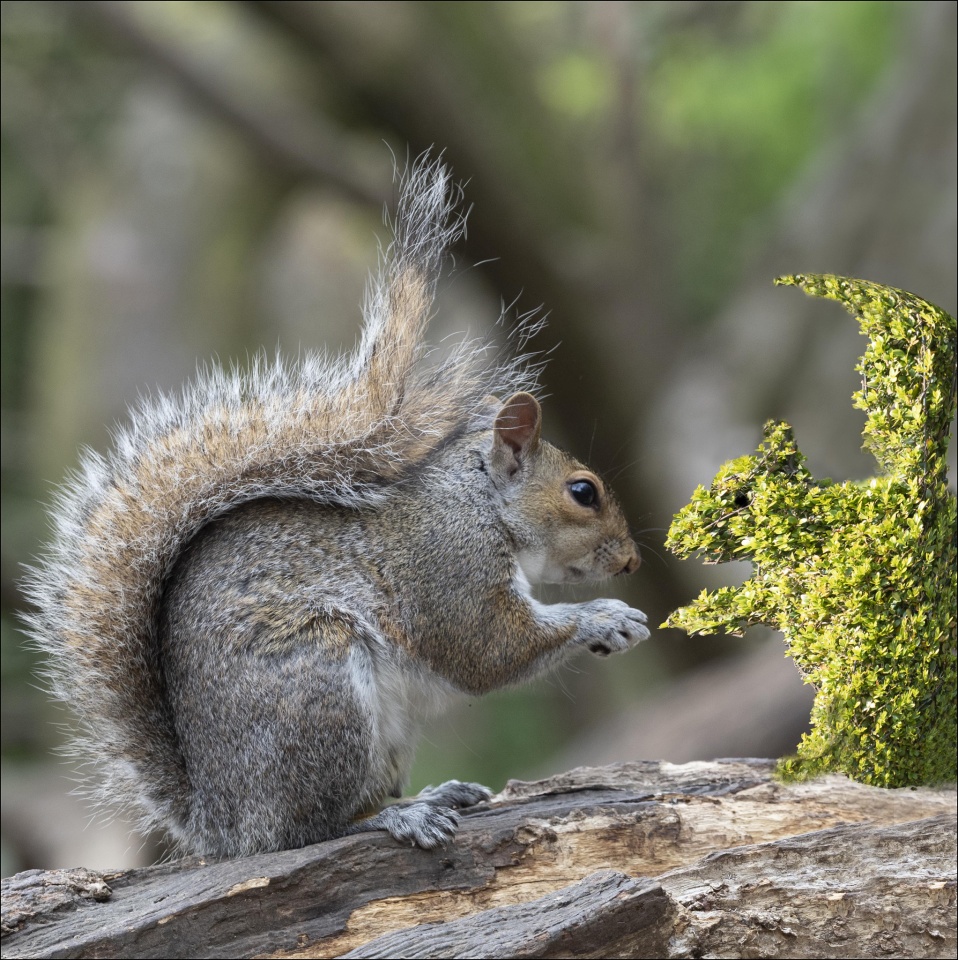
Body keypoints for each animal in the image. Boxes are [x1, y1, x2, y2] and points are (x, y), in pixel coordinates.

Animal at [24, 158, 648, 859]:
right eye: (583, 492)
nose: (631, 562)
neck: (480, 502)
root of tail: (222, 821)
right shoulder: (444, 563)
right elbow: (486, 647)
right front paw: (604, 617)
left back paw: (431, 795)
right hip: (318, 688)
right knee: (308, 828)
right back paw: (394, 817)